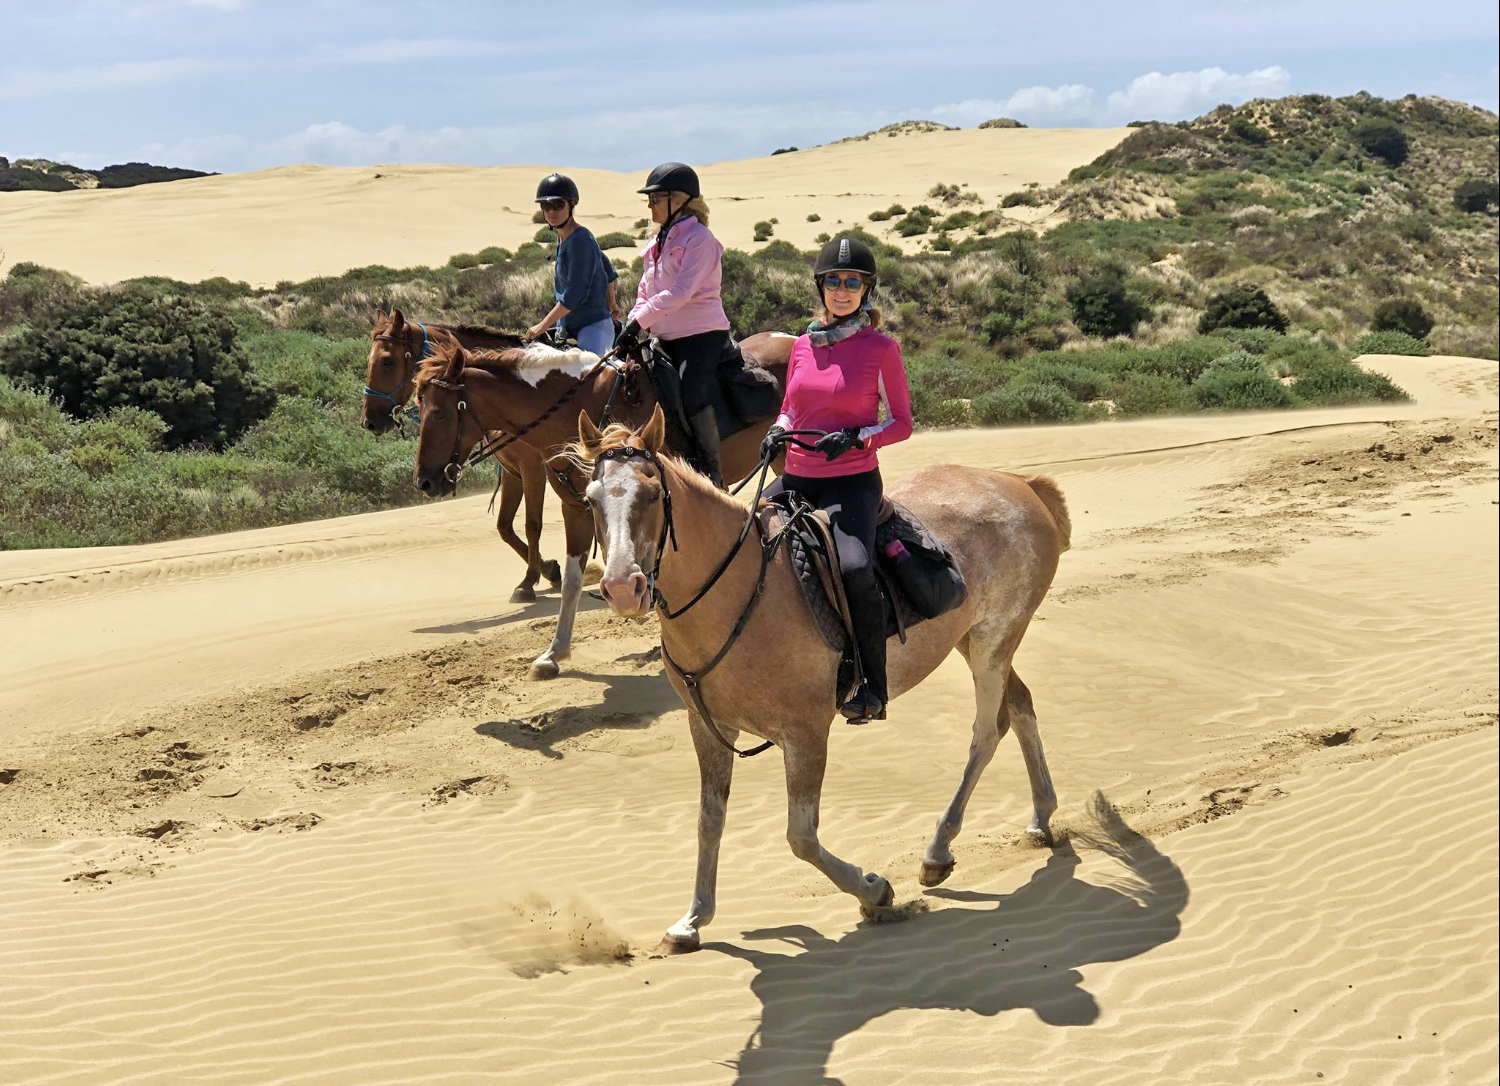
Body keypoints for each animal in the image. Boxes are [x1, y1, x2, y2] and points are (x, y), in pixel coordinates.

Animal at [363, 308, 561, 603]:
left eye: (387, 361)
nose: (369, 421)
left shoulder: (532, 467)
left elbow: (532, 524)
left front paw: (530, 580)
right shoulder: (513, 470)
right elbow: (504, 526)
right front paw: (545, 570)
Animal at [412, 333, 791, 681]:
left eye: (441, 414)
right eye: (421, 408)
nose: (425, 481)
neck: (575, 407)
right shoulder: (577, 508)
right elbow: (572, 582)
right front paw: (554, 652)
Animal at [573, 407, 1070, 953]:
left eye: (650, 493)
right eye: (590, 499)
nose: (623, 587)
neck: (739, 592)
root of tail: (1017, 482)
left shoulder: (806, 734)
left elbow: (801, 837)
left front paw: (874, 891)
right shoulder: (707, 727)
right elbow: (709, 820)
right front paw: (694, 917)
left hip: (992, 642)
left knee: (986, 731)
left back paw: (938, 850)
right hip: (974, 639)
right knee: (1019, 707)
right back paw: (1040, 817)